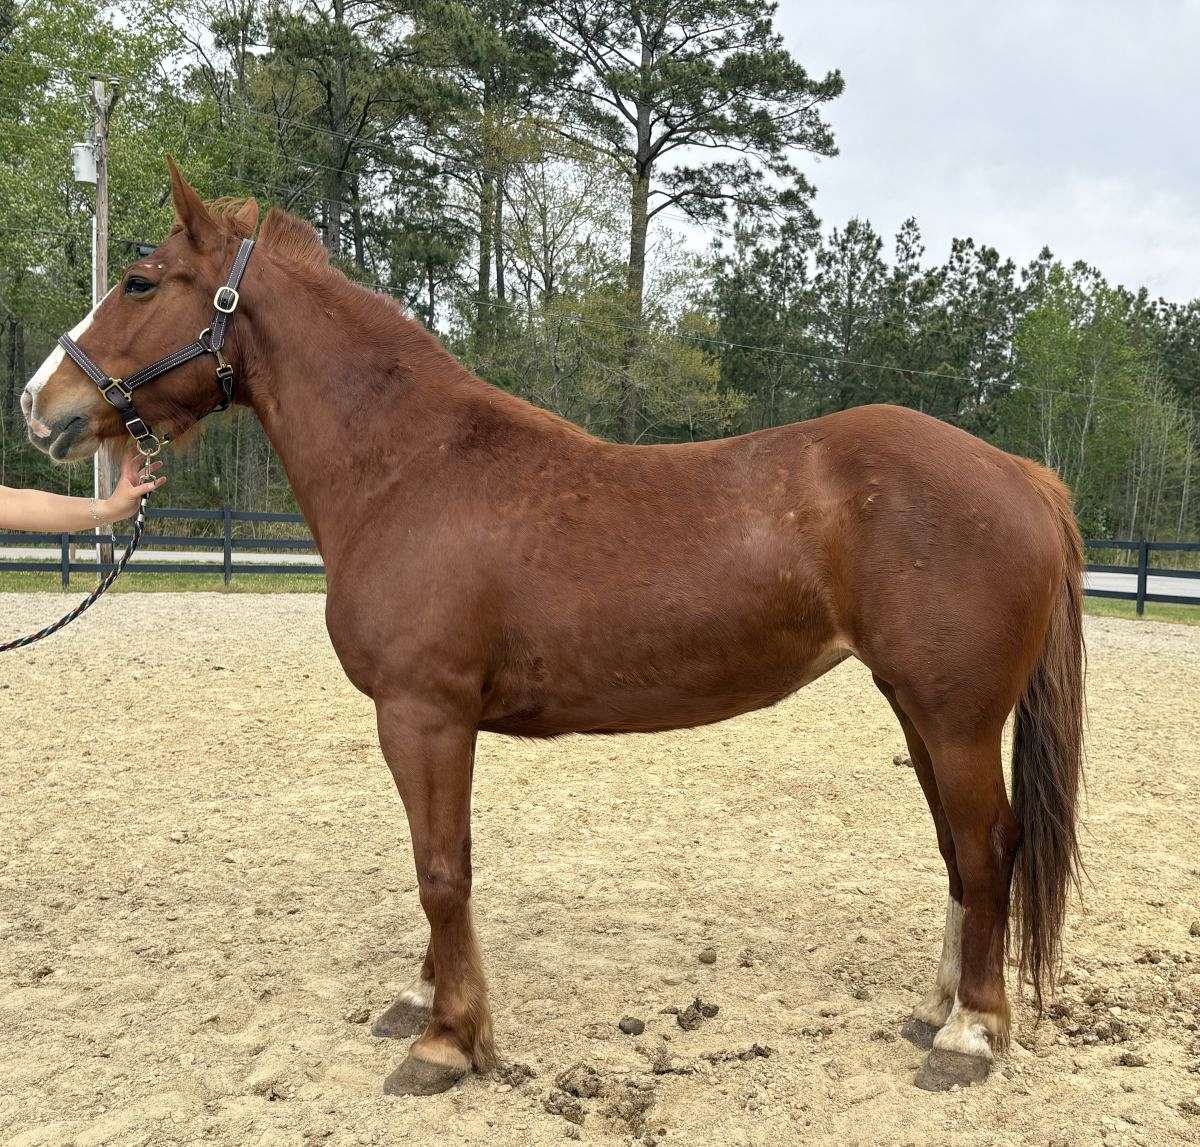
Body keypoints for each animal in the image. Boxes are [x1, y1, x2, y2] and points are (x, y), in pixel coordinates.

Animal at [20, 161, 1084, 1097]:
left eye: (139, 280)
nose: (41, 404)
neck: (410, 469)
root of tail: (1023, 474)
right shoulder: (431, 722)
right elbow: (438, 859)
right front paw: (425, 1000)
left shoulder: (422, 712)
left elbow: (441, 869)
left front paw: (448, 1044)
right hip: (916, 706)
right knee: (957, 849)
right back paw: (937, 1008)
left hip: (953, 717)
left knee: (988, 846)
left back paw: (970, 1034)